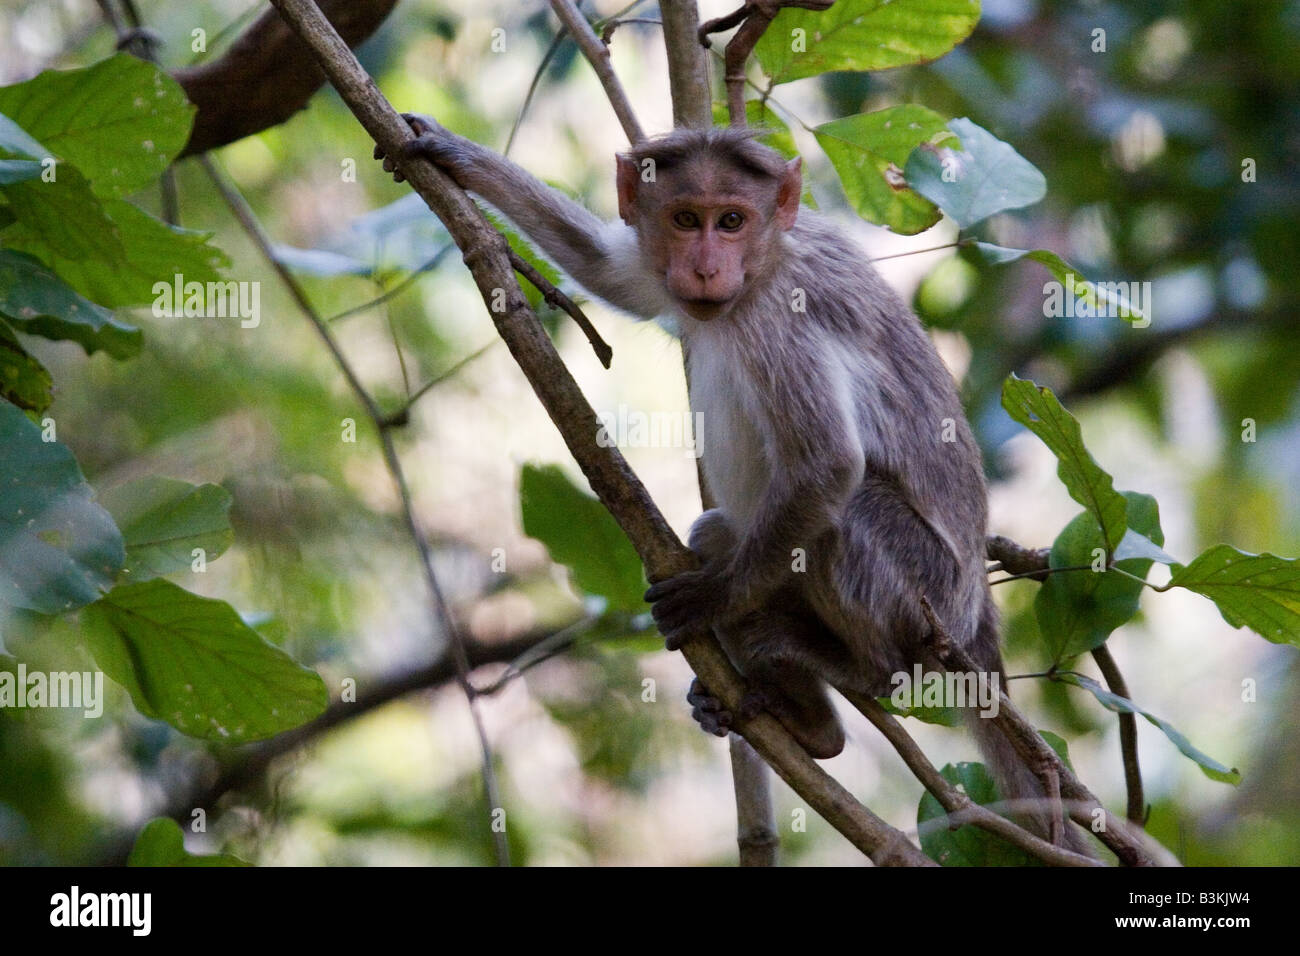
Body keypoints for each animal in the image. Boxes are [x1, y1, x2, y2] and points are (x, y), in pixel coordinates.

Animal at [377, 115, 1091, 853]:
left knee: (850, 514)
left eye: (732, 221)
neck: (759, 271)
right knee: (721, 533)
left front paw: (711, 598)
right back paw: (812, 724)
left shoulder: (782, 318)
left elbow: (830, 463)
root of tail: (978, 619)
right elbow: (607, 267)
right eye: (686, 219)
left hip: (930, 597)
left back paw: (866, 670)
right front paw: (451, 154)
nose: (704, 266)